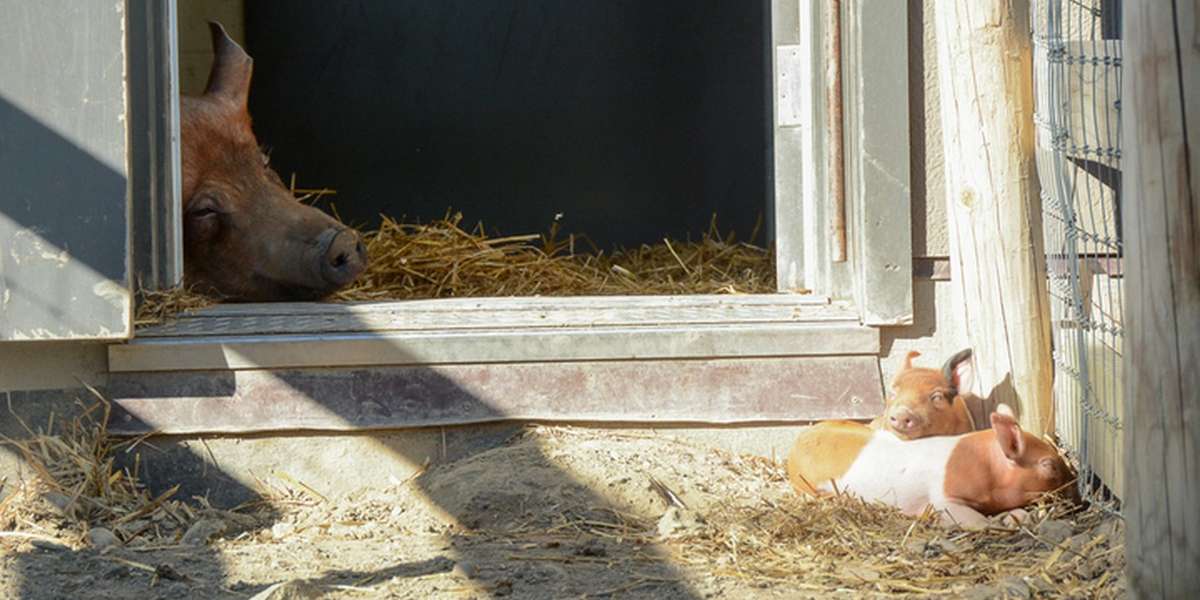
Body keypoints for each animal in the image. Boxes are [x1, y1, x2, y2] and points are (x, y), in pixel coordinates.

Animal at [786, 407, 1078, 528]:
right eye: (1049, 465)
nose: (1080, 499)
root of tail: (796, 444)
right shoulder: (944, 499)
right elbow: (978, 522)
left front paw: (1017, 516)